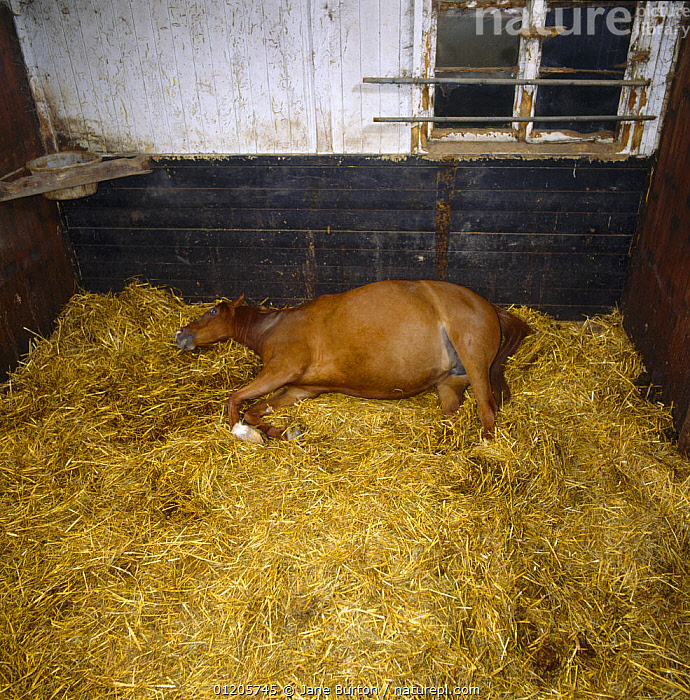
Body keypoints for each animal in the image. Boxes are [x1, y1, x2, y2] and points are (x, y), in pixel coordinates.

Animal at [175, 280, 531, 442]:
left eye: (212, 311)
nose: (180, 334)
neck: (275, 326)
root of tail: (490, 307)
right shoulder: (299, 389)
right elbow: (254, 409)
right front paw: (285, 431)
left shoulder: (282, 370)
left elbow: (235, 401)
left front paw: (242, 432)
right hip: (450, 383)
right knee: (451, 417)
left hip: (475, 365)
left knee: (487, 410)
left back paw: (485, 448)